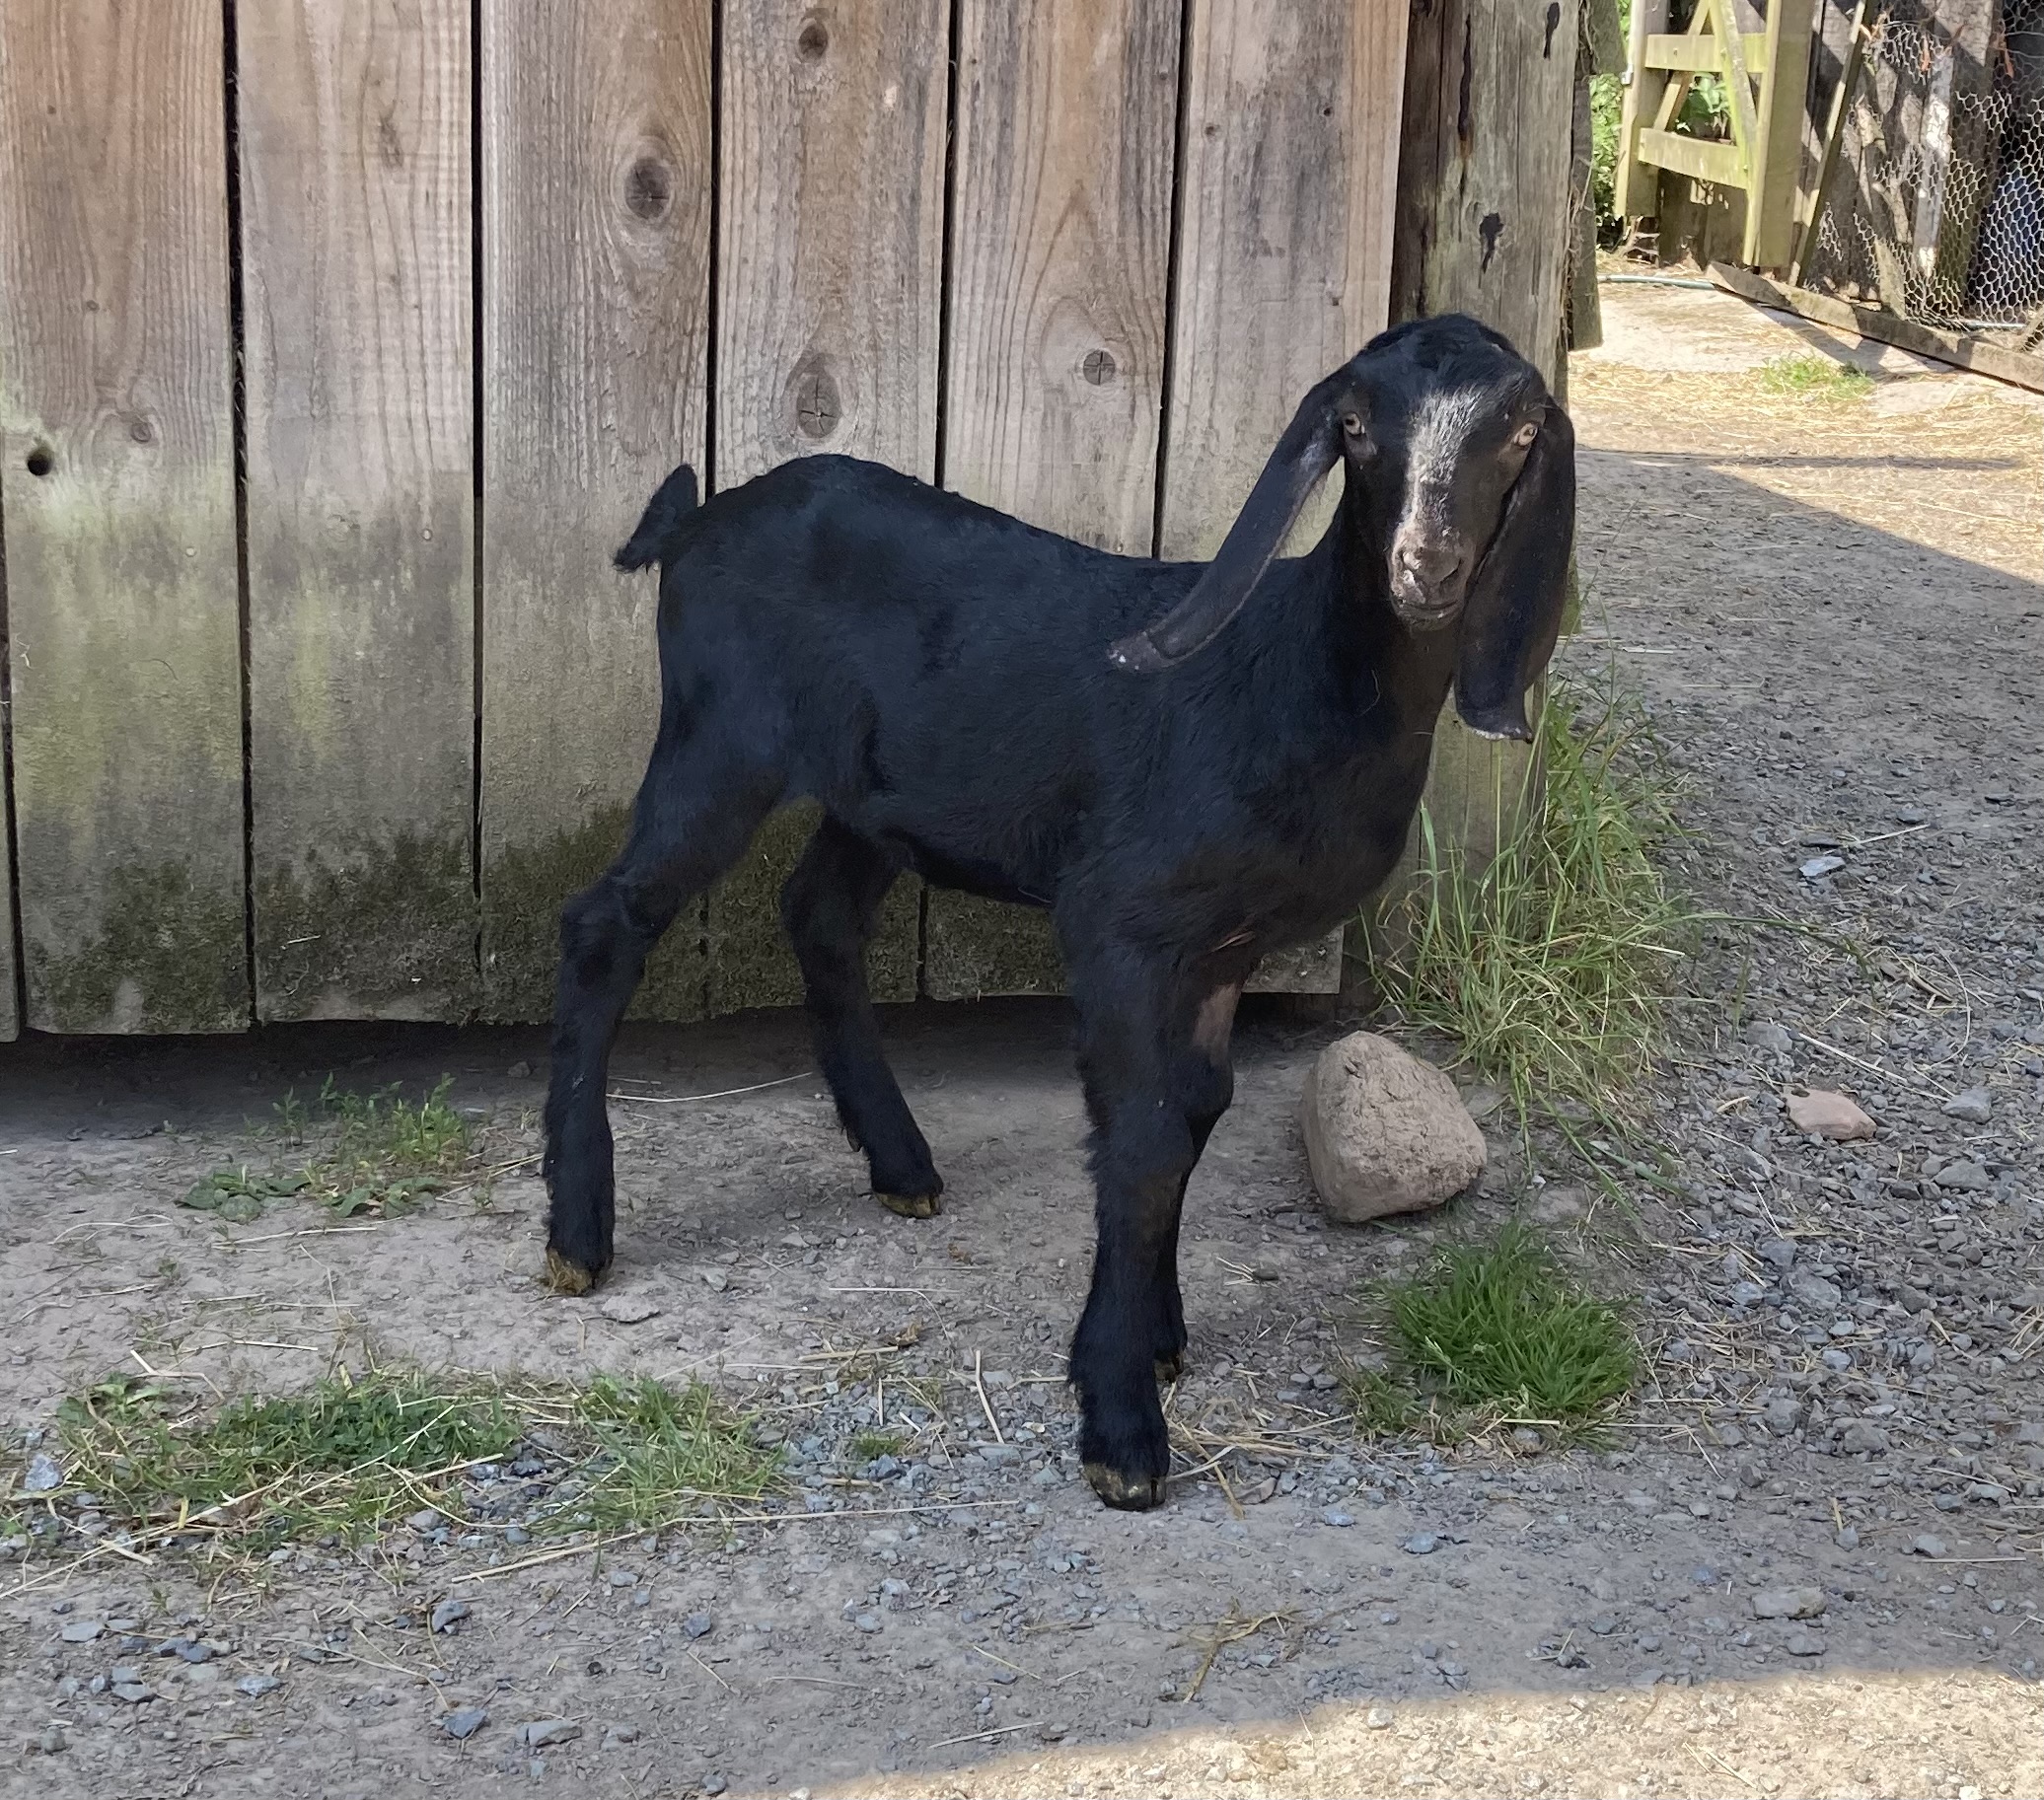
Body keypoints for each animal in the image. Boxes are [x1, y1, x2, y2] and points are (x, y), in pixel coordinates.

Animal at [543, 312, 1575, 1510]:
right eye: (1357, 425)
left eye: (1519, 431)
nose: (1426, 565)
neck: (1289, 676)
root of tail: (694, 522)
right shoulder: (1120, 922)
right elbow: (1144, 1139)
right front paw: (1120, 1423)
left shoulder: (1219, 948)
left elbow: (1196, 1112)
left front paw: (1160, 1337)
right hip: (719, 740)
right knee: (606, 924)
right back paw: (579, 1234)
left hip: (875, 791)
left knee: (818, 912)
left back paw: (899, 1163)